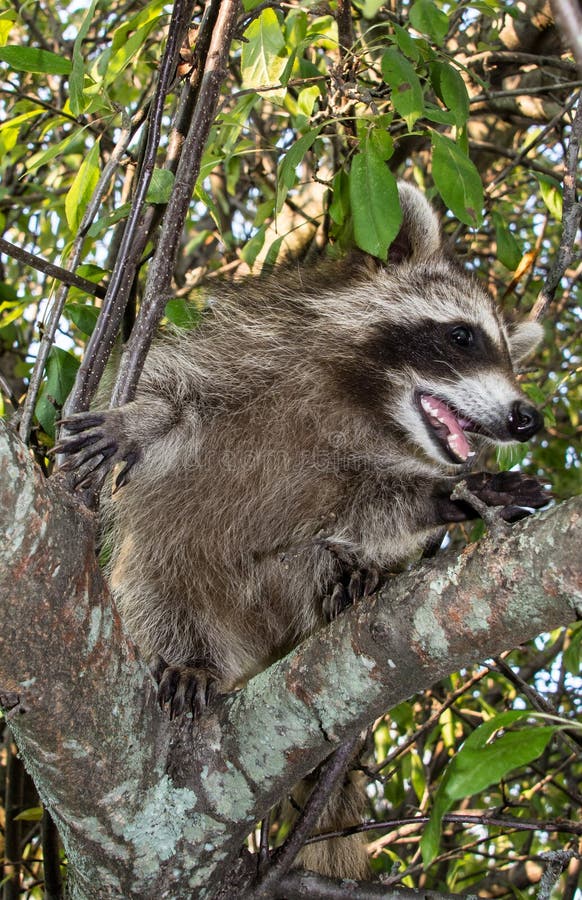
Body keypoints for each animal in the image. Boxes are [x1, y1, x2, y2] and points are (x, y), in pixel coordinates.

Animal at [56, 182, 548, 880]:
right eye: (463, 336)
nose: (526, 418)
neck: (362, 402)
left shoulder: (346, 475)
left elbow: (370, 508)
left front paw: (449, 497)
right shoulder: (247, 356)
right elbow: (170, 389)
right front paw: (141, 418)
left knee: (310, 560)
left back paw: (349, 582)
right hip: (173, 577)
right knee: (158, 590)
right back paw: (187, 657)